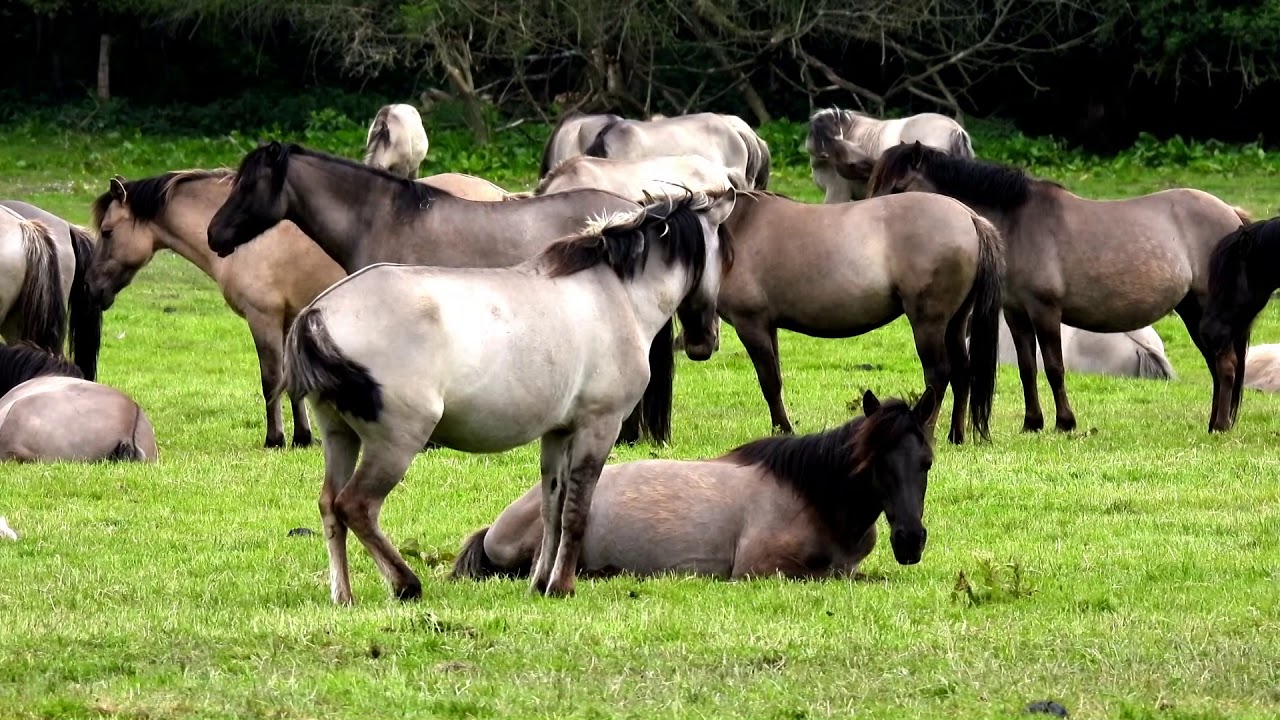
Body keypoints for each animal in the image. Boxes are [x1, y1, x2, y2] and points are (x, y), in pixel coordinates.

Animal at [282, 191, 734, 603]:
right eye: (725, 257)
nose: (705, 341)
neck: (615, 295)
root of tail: (318, 312)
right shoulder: (598, 427)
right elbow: (577, 510)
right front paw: (561, 585)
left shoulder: (559, 433)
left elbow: (553, 507)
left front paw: (540, 582)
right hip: (395, 443)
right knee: (356, 505)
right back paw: (405, 583)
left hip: (340, 436)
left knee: (330, 506)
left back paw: (344, 595)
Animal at [452, 387, 937, 582]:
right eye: (875, 463)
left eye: (927, 463)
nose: (910, 540)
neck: (811, 494)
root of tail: (497, 526)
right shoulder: (759, 569)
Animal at [717, 190, 1003, 445]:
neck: (739, 227)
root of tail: (968, 216)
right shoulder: (769, 327)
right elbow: (775, 379)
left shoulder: (751, 324)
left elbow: (769, 382)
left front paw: (783, 431)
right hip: (955, 322)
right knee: (962, 372)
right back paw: (956, 436)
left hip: (929, 324)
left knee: (938, 375)